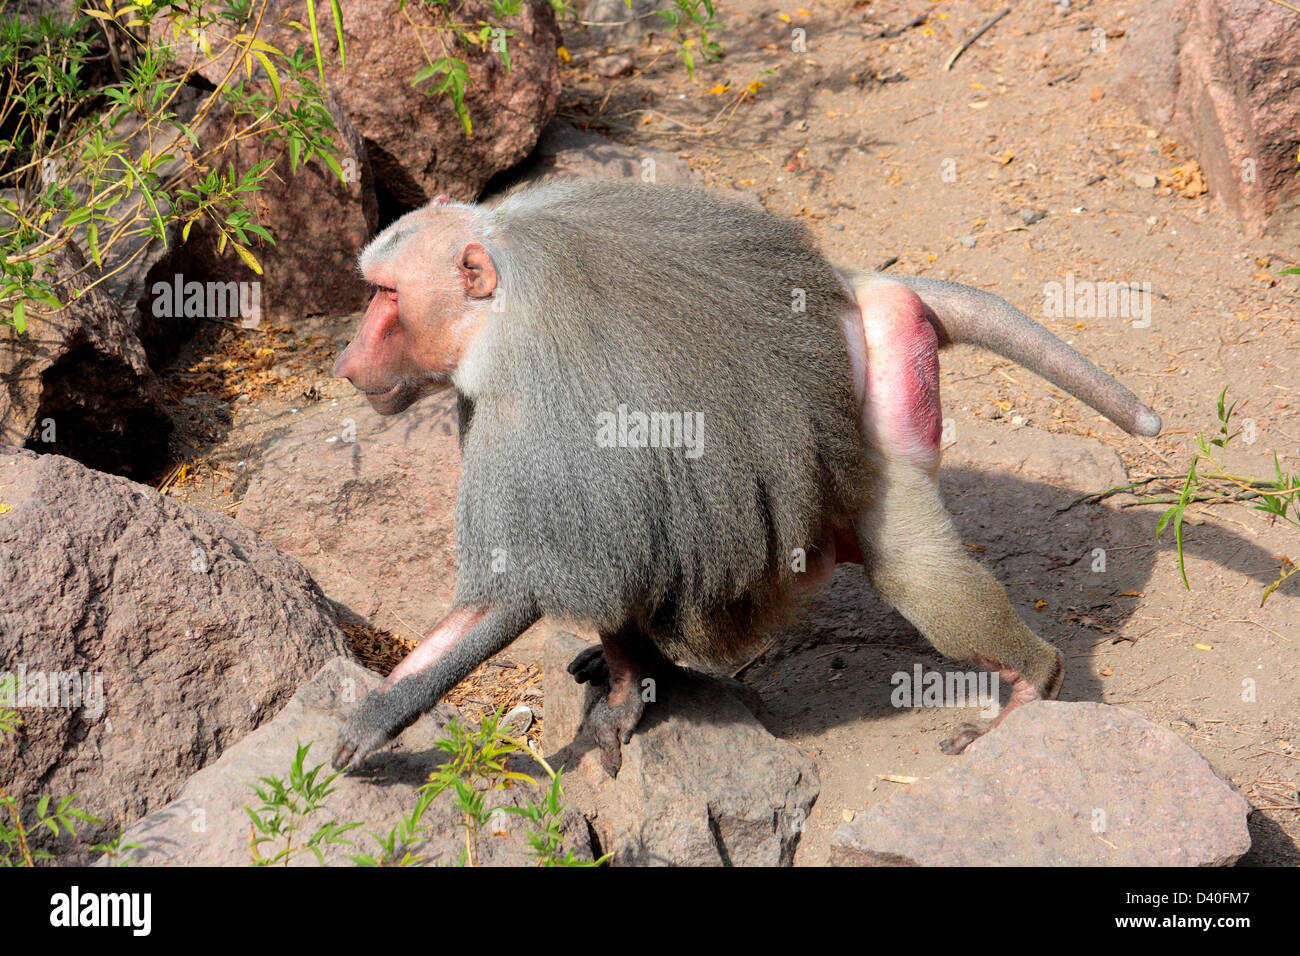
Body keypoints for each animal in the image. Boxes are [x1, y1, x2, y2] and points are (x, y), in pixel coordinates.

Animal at [329, 179, 1161, 776]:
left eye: (387, 296)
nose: (344, 363)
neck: (501, 289)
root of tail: (853, 289)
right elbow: (610, 563)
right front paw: (633, 679)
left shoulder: (536, 412)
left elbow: (521, 585)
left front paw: (375, 719)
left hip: (885, 381)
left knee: (913, 574)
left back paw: (1032, 687)